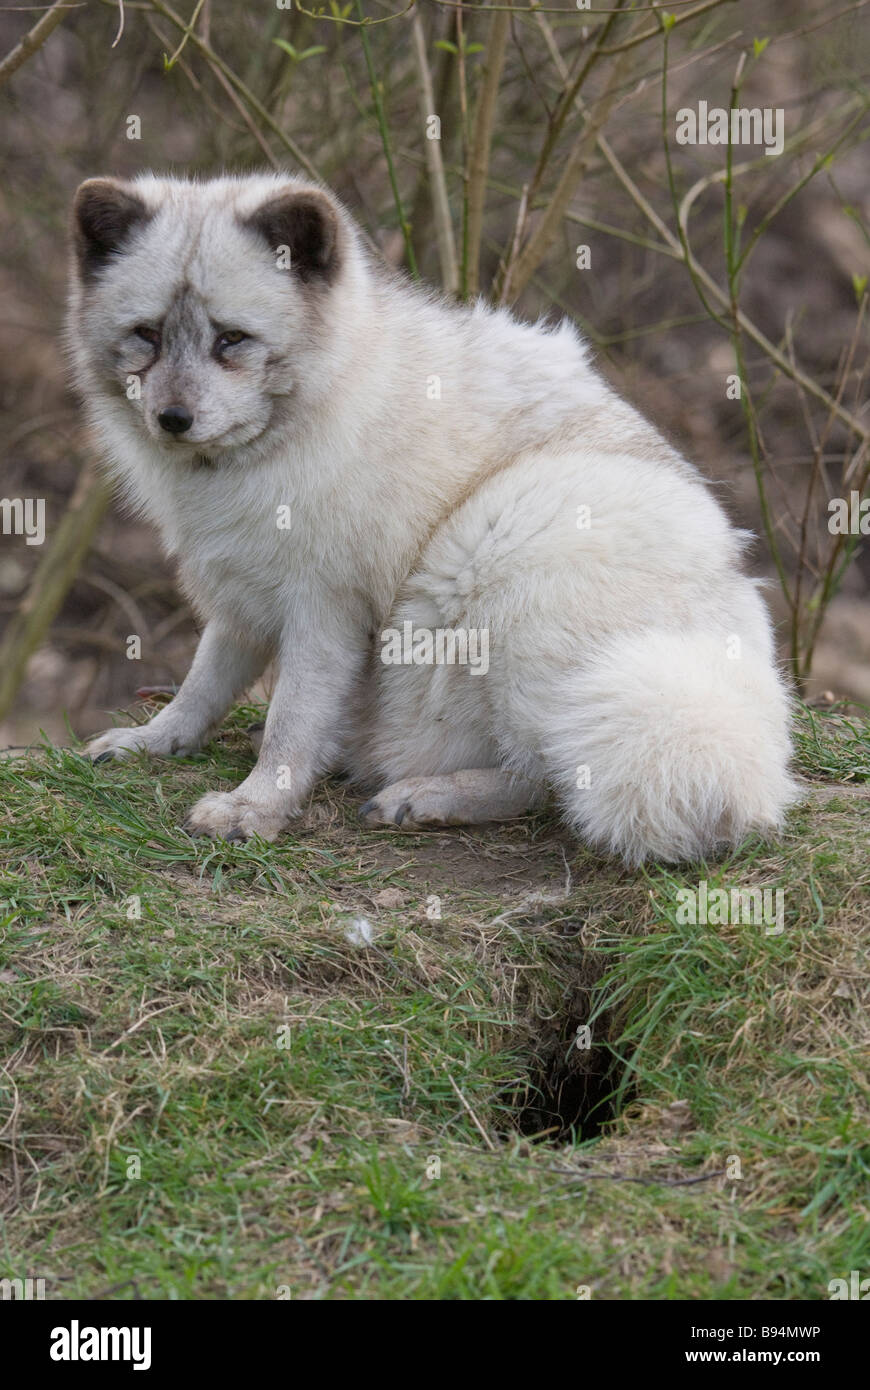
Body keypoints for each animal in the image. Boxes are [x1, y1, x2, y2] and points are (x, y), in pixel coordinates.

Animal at [69, 171, 795, 865]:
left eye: (232, 340)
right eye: (147, 335)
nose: (172, 419)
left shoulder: (326, 605)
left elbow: (291, 721)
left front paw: (257, 807)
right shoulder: (240, 592)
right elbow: (203, 683)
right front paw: (156, 739)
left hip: (504, 550)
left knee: (549, 778)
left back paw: (425, 796)